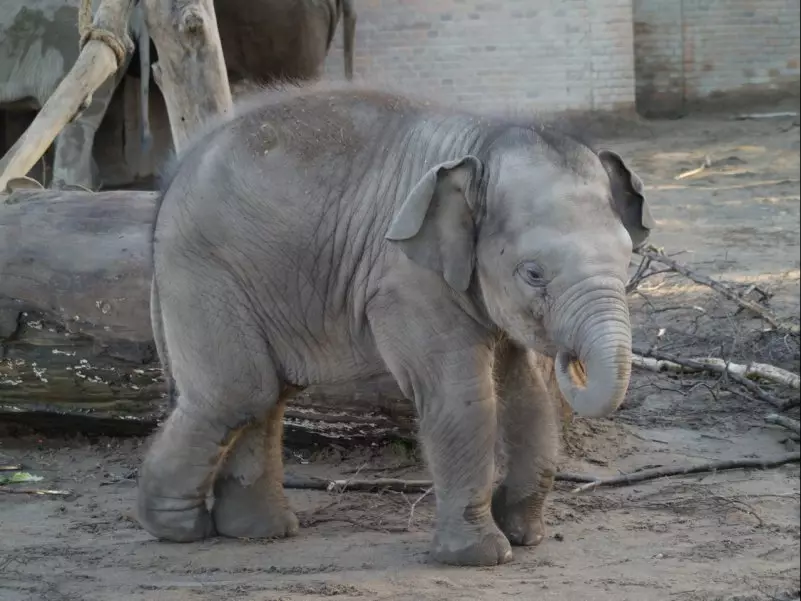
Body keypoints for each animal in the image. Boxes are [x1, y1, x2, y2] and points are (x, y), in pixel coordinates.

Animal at [136, 82, 648, 564]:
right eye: (534, 273)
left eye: (628, 260)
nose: (569, 357)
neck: (483, 142)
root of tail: (169, 181)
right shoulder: (406, 280)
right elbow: (462, 395)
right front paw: (482, 556)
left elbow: (529, 393)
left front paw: (524, 536)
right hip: (205, 272)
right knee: (240, 392)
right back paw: (177, 528)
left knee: (268, 395)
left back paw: (259, 531)